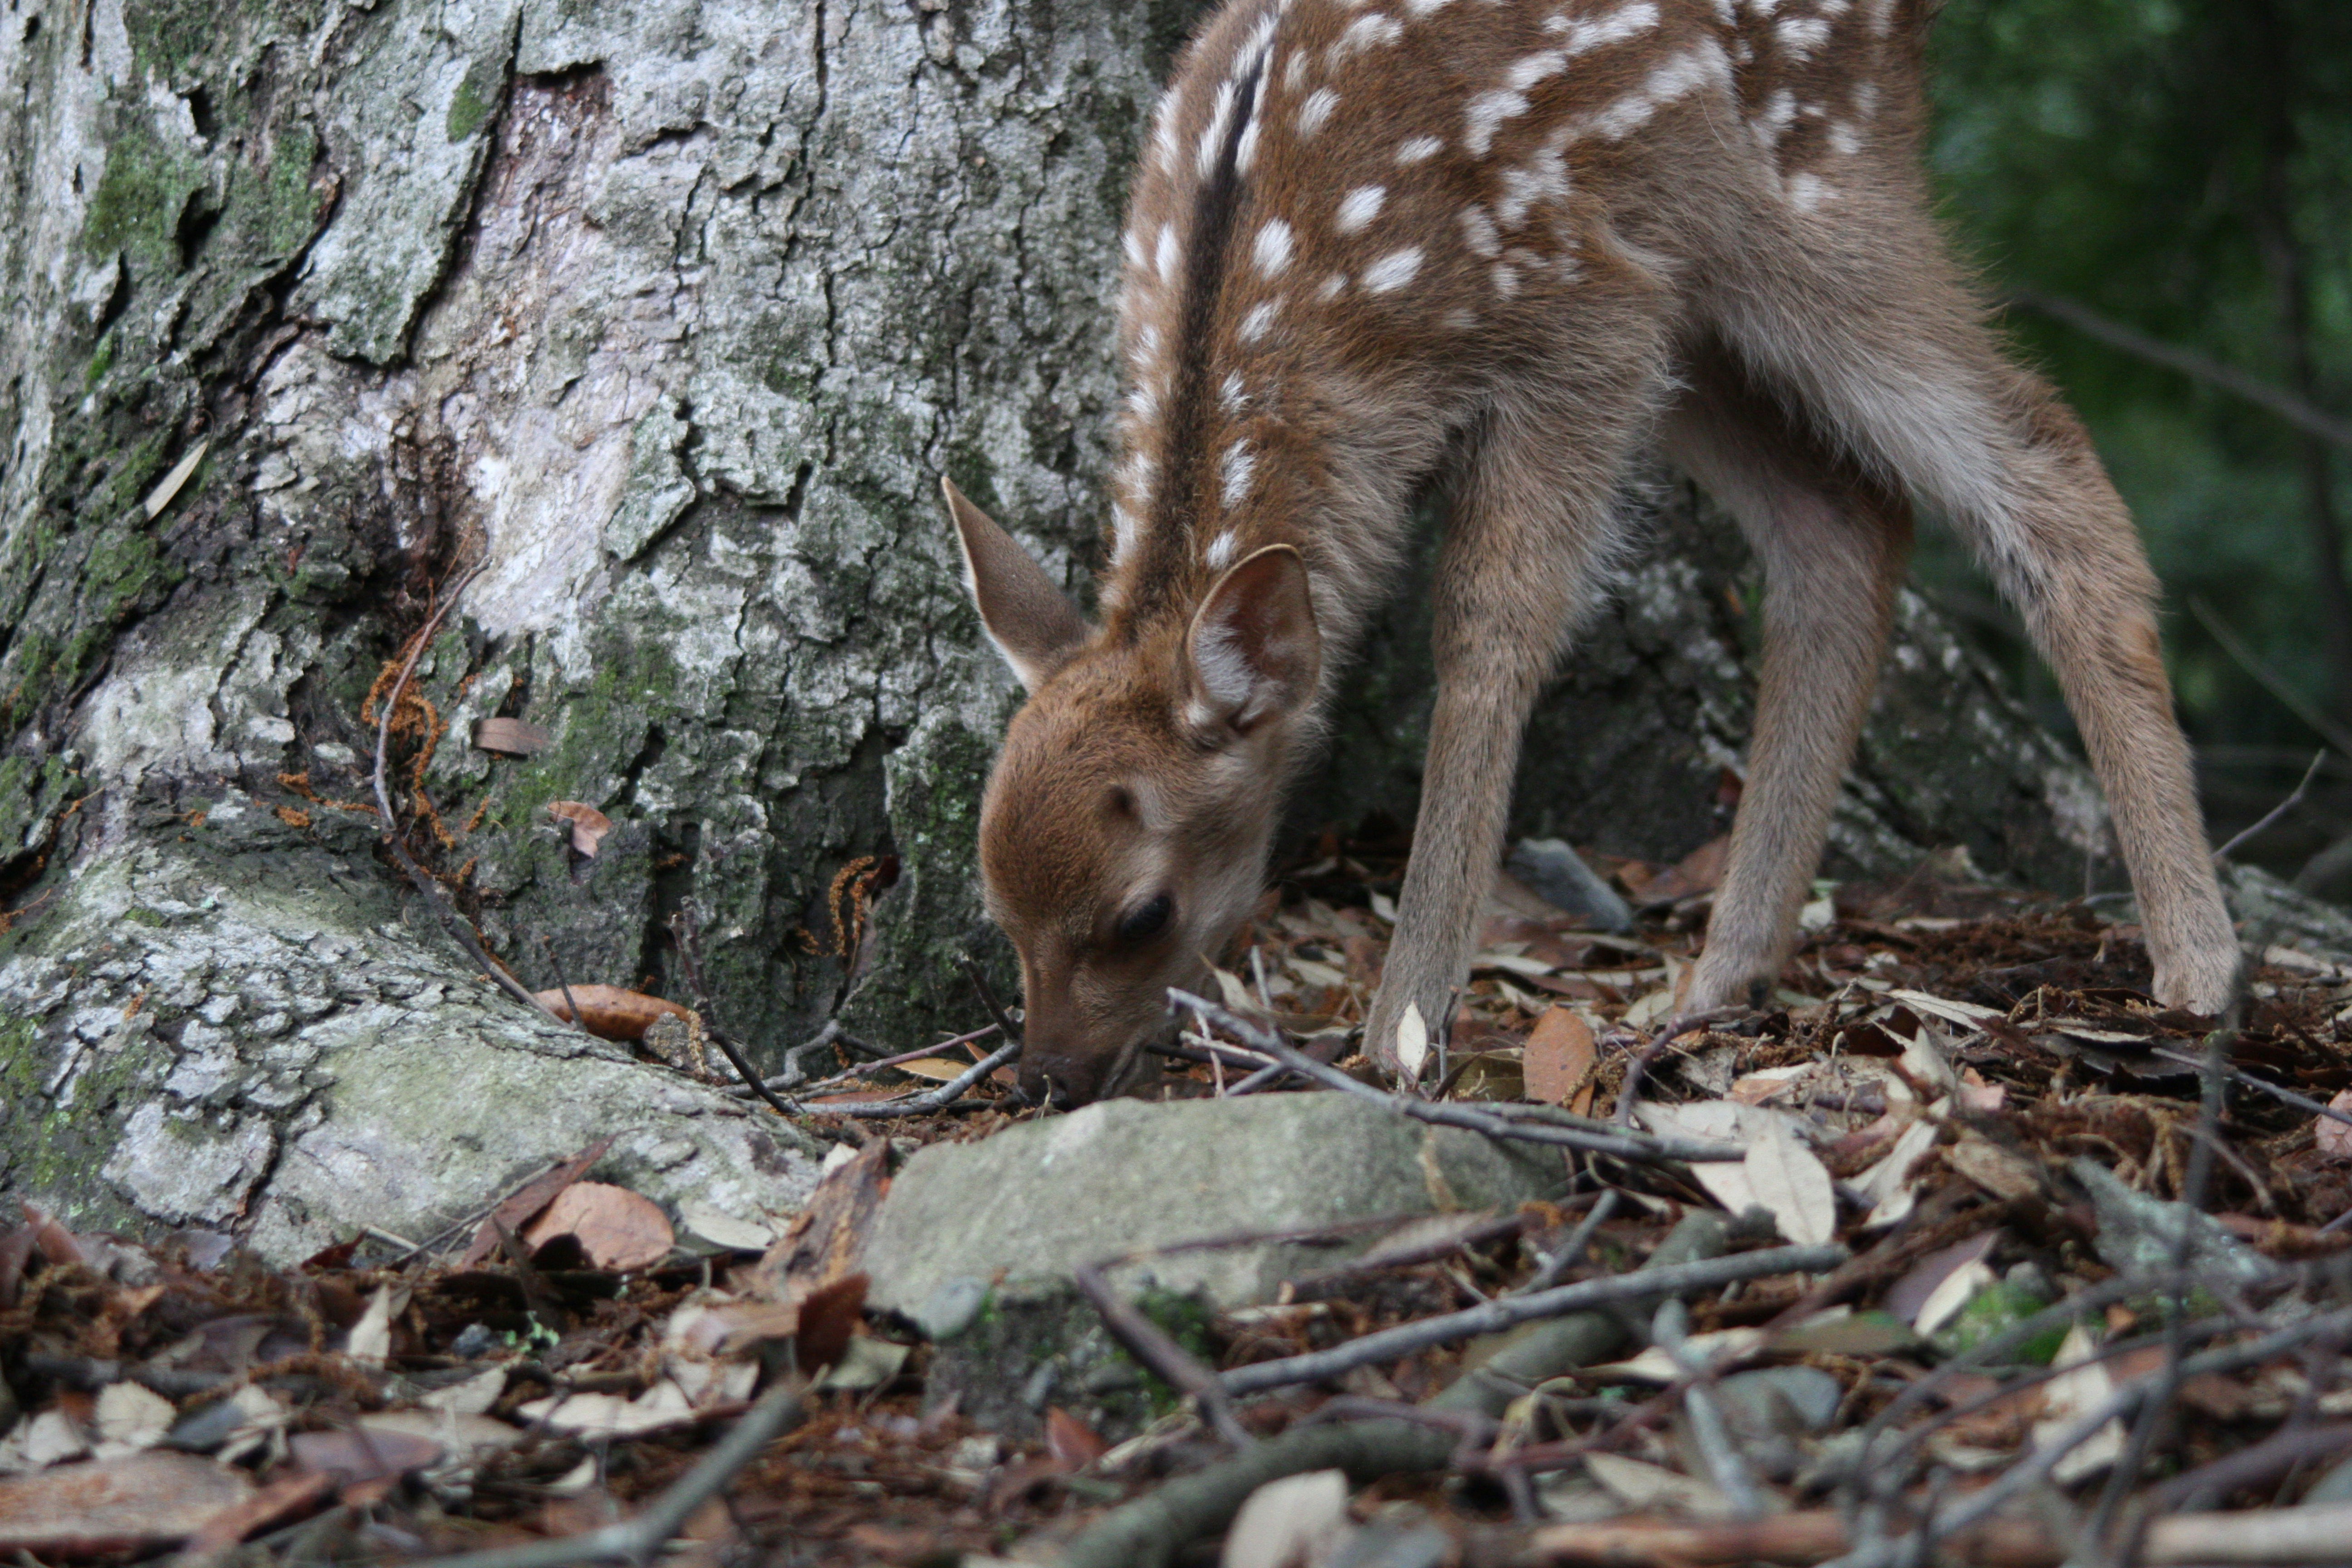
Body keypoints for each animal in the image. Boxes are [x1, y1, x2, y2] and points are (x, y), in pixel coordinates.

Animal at [941, 0, 2242, 1106]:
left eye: (1141, 915)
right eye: (996, 910)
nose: (1044, 1077)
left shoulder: (1577, 324)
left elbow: (1490, 627)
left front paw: (1403, 1030)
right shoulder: (1615, 314)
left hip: (1807, 189)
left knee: (2040, 461)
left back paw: (2199, 967)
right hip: (1694, 290)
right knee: (1848, 520)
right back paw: (1723, 977)